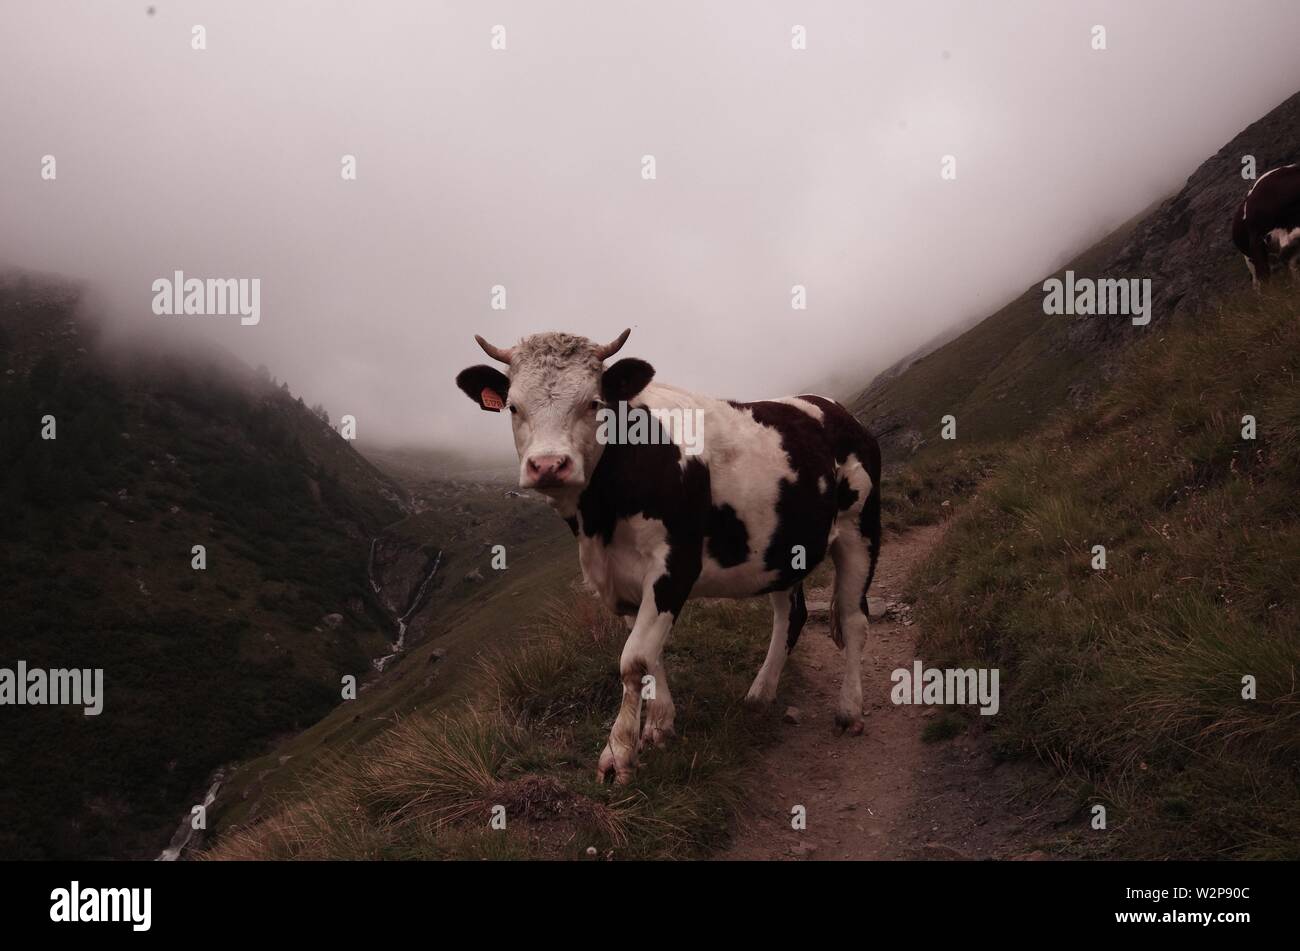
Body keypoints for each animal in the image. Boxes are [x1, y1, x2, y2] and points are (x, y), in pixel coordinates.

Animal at [456, 329, 882, 784]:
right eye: (514, 406)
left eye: (593, 403)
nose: (549, 465)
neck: (598, 522)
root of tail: (834, 409)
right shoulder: (621, 580)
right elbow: (650, 654)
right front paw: (659, 725)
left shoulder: (675, 565)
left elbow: (634, 658)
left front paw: (618, 756)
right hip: (784, 550)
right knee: (791, 615)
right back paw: (760, 694)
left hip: (859, 530)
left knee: (854, 620)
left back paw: (849, 711)